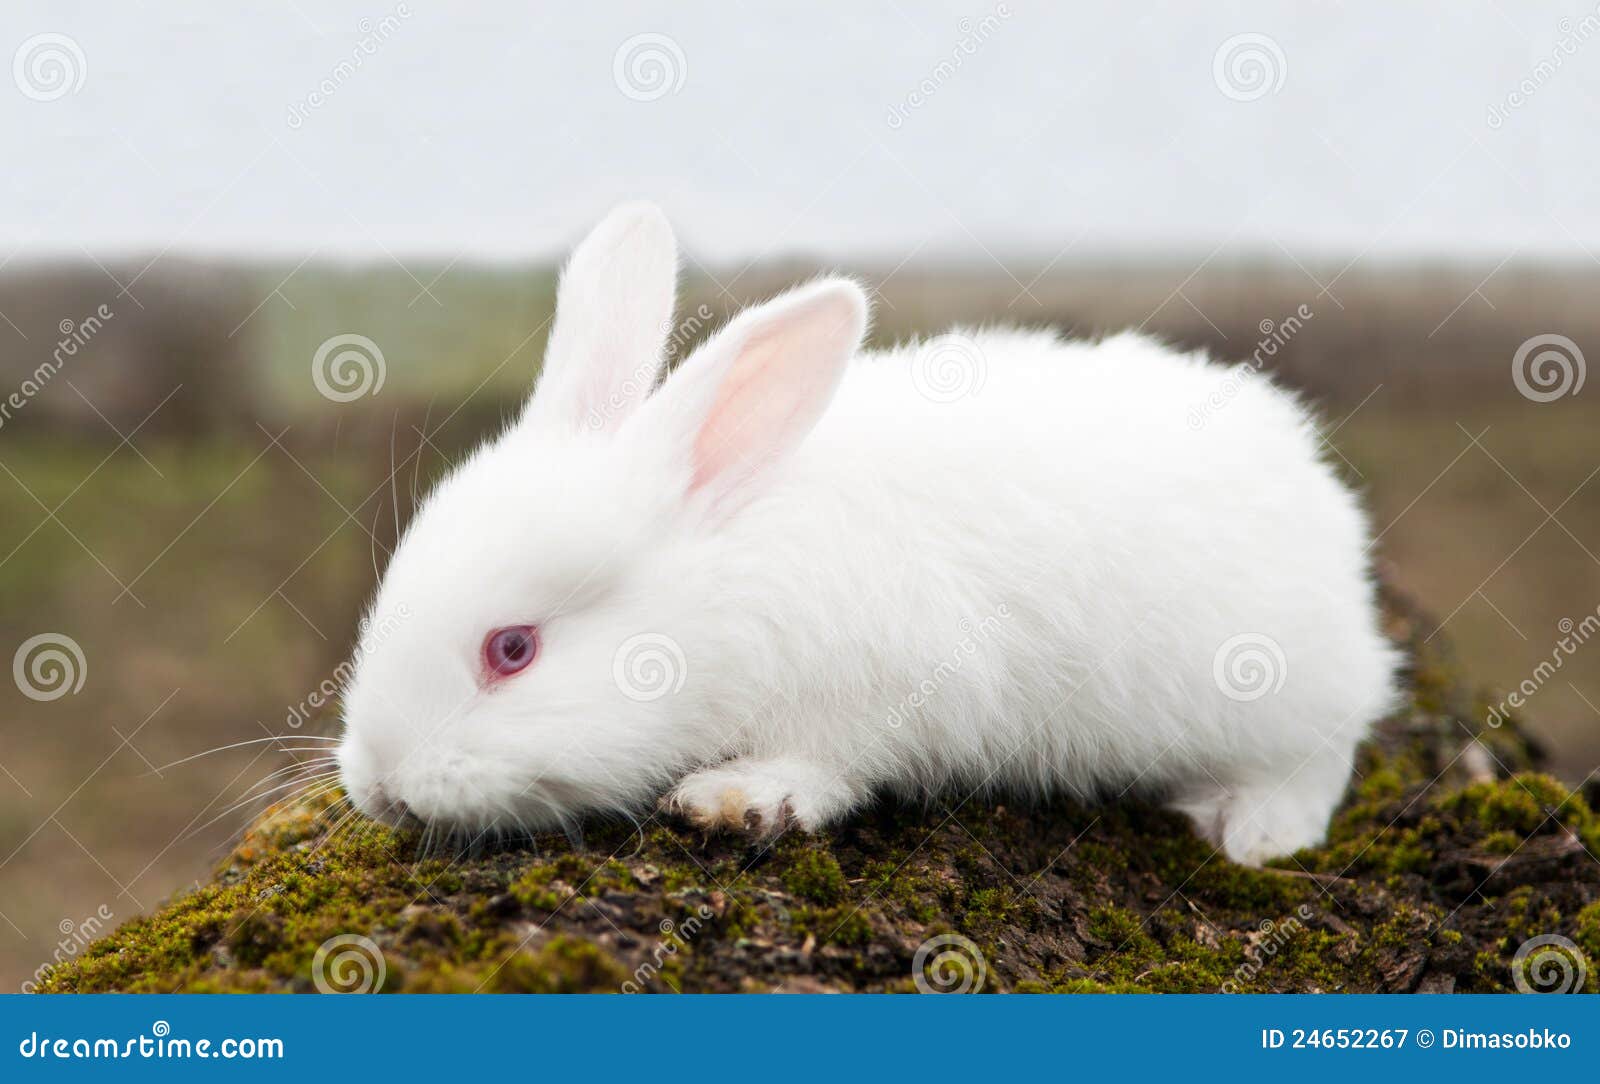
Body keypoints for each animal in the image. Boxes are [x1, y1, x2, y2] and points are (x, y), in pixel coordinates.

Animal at [336, 201, 1401, 866]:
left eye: (512, 650)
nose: (380, 784)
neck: (723, 579)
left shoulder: (878, 692)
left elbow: (823, 769)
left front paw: (733, 800)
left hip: (1280, 696)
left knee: (1319, 760)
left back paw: (1251, 831)